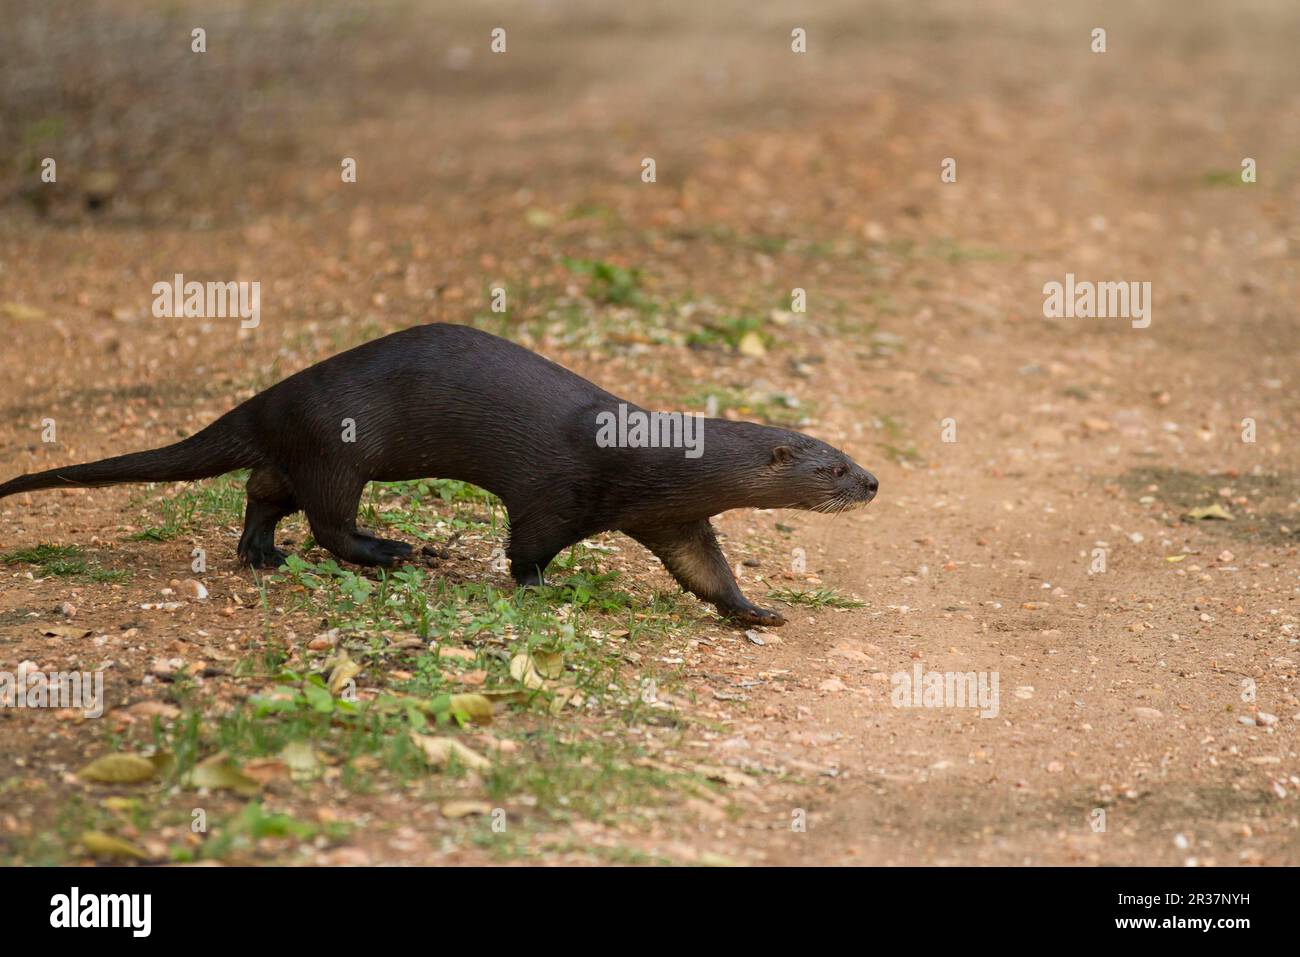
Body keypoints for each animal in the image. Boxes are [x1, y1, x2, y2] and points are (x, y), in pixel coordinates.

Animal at [0, 323, 877, 626]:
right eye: (834, 466)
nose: (872, 484)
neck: (650, 455)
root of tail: (271, 397)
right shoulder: (557, 492)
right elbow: (528, 546)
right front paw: (538, 586)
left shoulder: (672, 517)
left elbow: (705, 571)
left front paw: (758, 609)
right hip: (339, 447)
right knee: (330, 521)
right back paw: (396, 552)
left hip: (298, 451)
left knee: (263, 494)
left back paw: (261, 553)